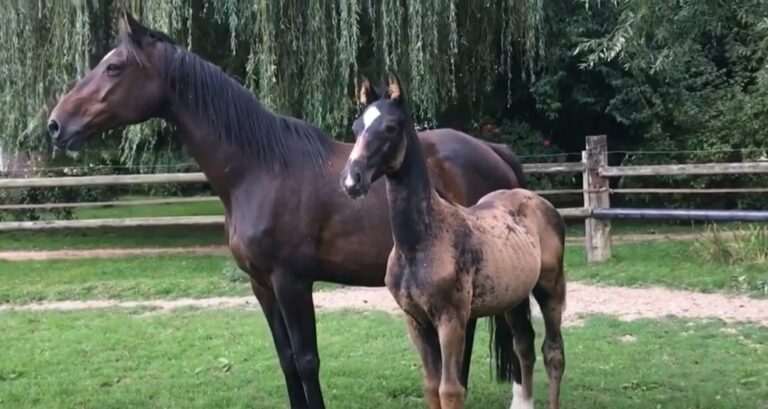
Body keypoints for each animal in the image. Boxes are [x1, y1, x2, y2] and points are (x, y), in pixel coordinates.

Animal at [46, 12, 529, 409]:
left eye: (113, 67)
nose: (55, 124)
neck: (260, 170)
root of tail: (492, 150)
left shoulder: (292, 281)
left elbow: (306, 358)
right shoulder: (261, 284)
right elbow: (285, 359)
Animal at [340, 74, 566, 409]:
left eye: (391, 127)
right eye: (357, 127)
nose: (351, 180)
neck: (420, 243)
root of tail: (536, 199)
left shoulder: (451, 320)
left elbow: (450, 390)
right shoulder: (416, 321)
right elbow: (432, 386)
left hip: (550, 287)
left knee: (553, 353)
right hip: (512, 296)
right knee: (524, 344)